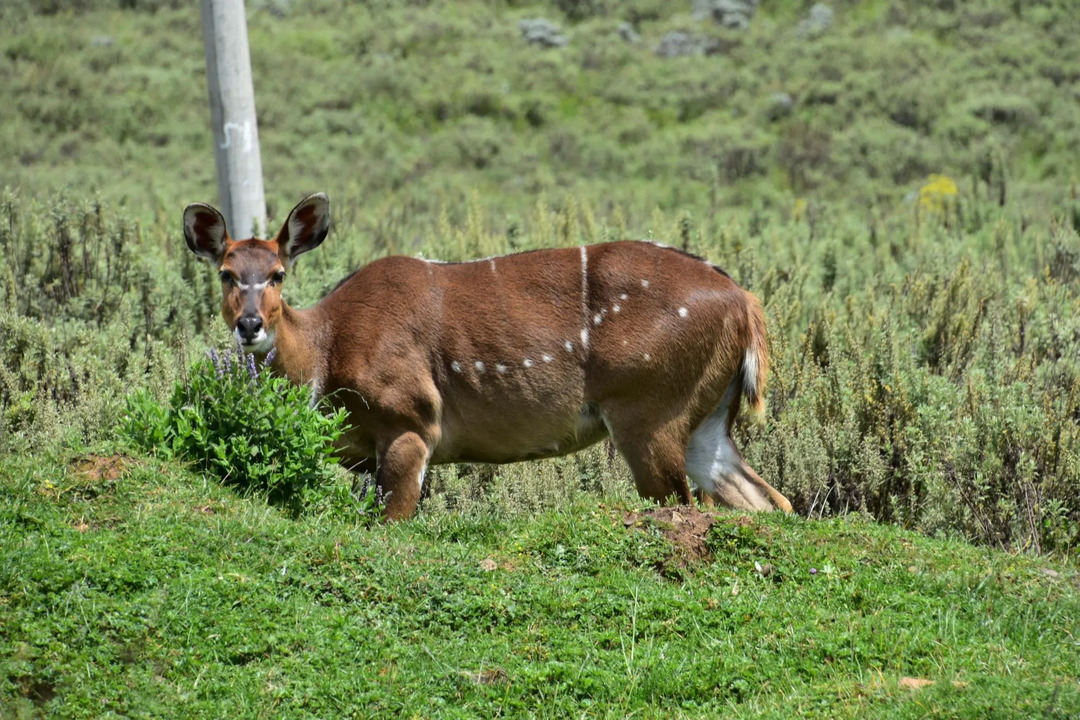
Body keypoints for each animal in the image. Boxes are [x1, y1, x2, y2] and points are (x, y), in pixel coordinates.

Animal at [183, 191, 794, 518]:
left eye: (278, 274)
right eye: (227, 273)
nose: (251, 325)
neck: (328, 353)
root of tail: (744, 301)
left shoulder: (410, 420)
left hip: (649, 413)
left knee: (684, 503)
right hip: (705, 420)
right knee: (767, 500)